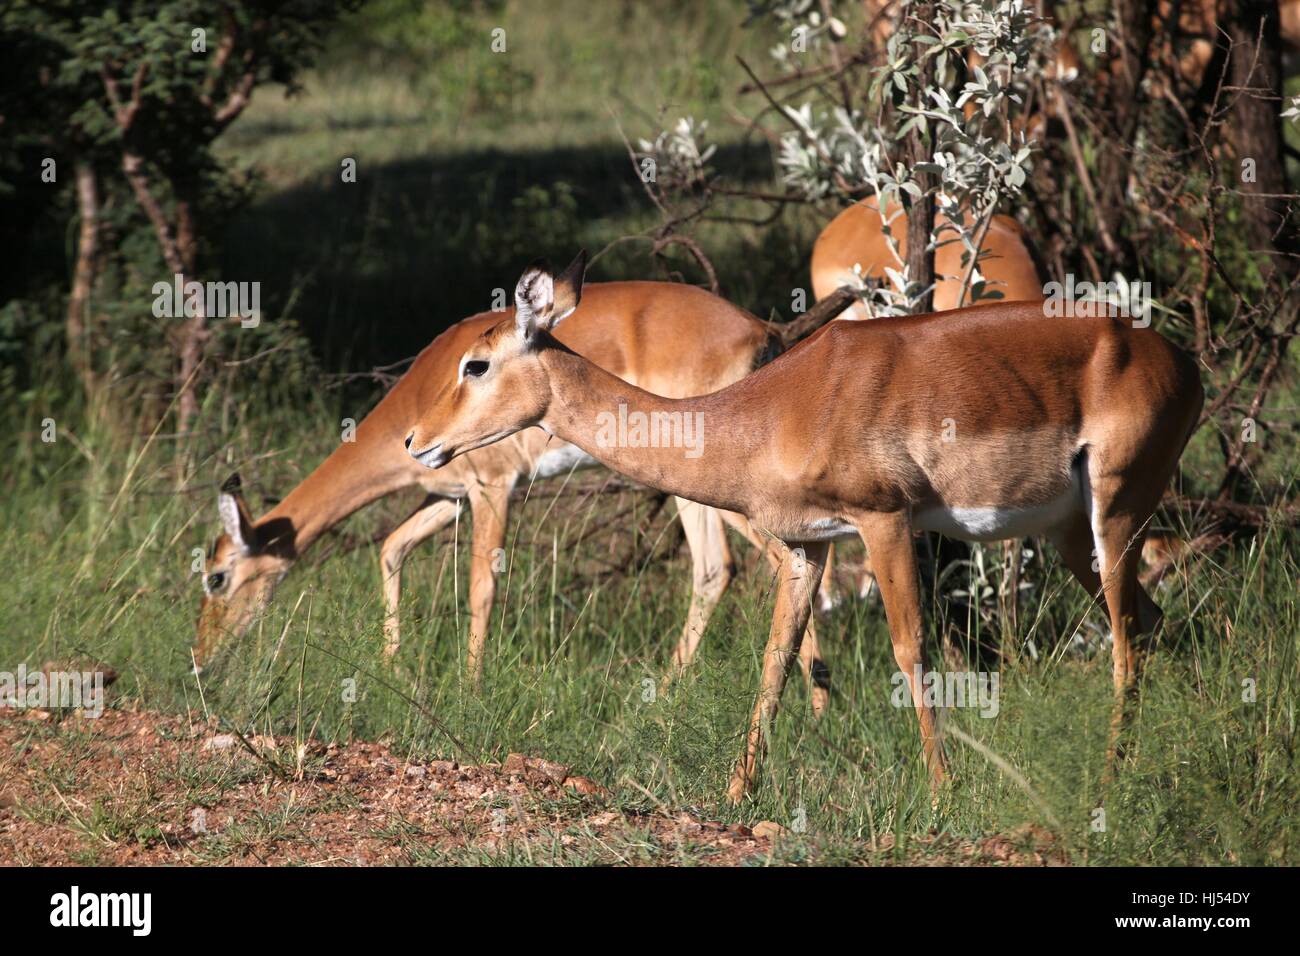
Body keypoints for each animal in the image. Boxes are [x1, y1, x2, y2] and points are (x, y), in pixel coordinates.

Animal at [195, 280, 831, 710]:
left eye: (217, 577)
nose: (200, 662)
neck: (424, 394)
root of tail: (764, 331)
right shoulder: (447, 495)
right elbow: (392, 548)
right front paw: (394, 669)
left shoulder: (494, 488)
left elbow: (481, 587)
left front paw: (469, 690)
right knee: (725, 568)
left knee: (759, 562)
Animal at [404, 252, 1203, 802]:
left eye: (477, 362)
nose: (416, 441)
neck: (766, 412)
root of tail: (1179, 360)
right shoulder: (804, 546)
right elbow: (775, 662)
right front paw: (736, 793)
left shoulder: (884, 520)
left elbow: (911, 650)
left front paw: (941, 790)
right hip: (1074, 532)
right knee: (1152, 622)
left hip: (1117, 506)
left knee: (1126, 640)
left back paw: (1110, 784)